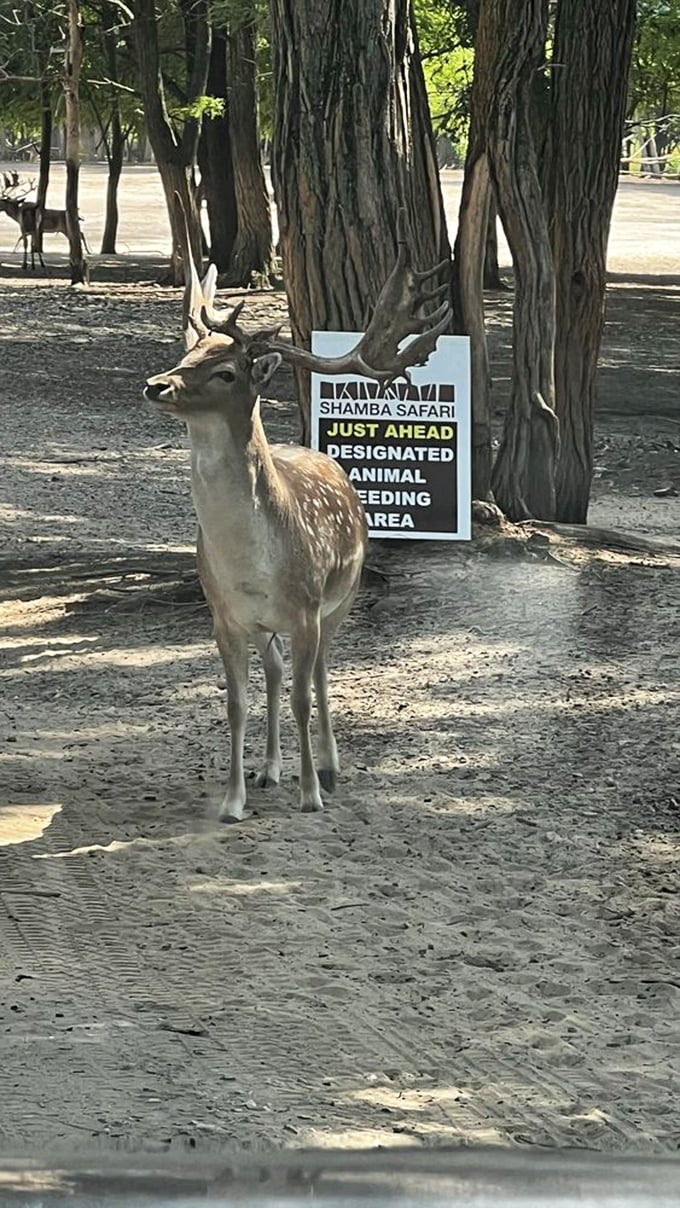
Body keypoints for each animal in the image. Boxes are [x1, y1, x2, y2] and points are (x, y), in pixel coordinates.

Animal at [144, 208, 451, 822]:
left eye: (227, 372)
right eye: (188, 356)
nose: (155, 384)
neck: (250, 564)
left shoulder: (307, 608)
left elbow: (307, 698)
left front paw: (311, 793)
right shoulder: (224, 616)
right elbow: (237, 704)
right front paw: (232, 800)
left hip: (343, 596)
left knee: (323, 674)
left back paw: (329, 768)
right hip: (271, 625)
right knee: (277, 673)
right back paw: (268, 770)